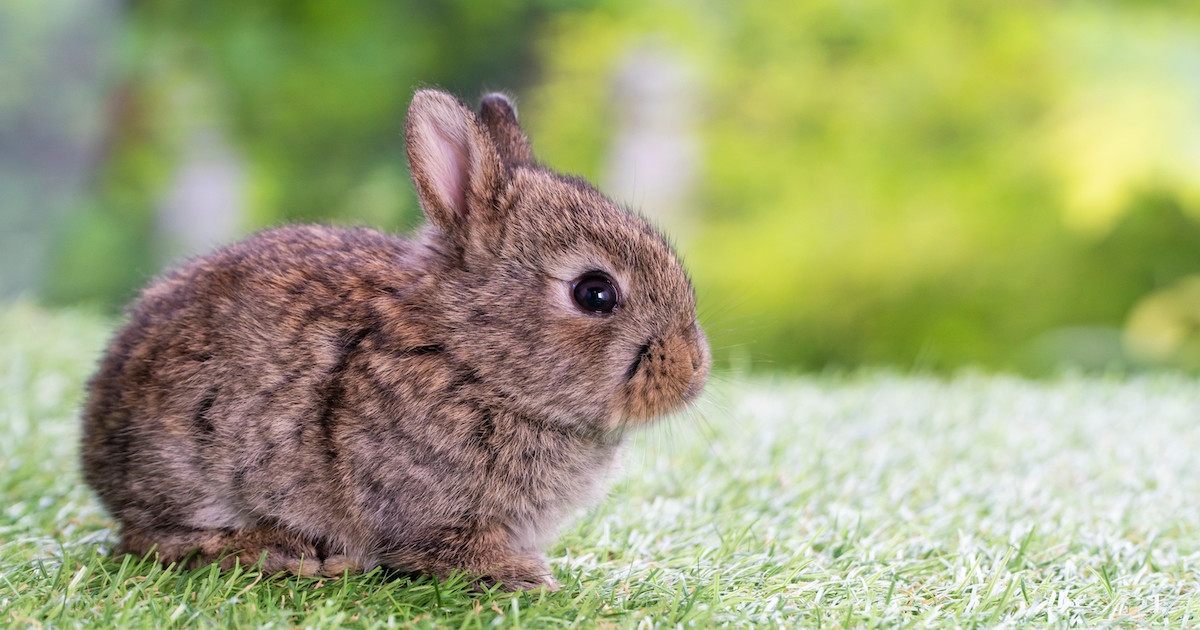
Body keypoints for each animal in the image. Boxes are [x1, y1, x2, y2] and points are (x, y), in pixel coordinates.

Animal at [80, 88, 710, 591]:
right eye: (595, 293)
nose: (693, 371)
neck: (469, 356)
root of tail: (95, 444)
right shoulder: (431, 512)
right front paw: (524, 577)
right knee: (160, 543)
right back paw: (286, 552)